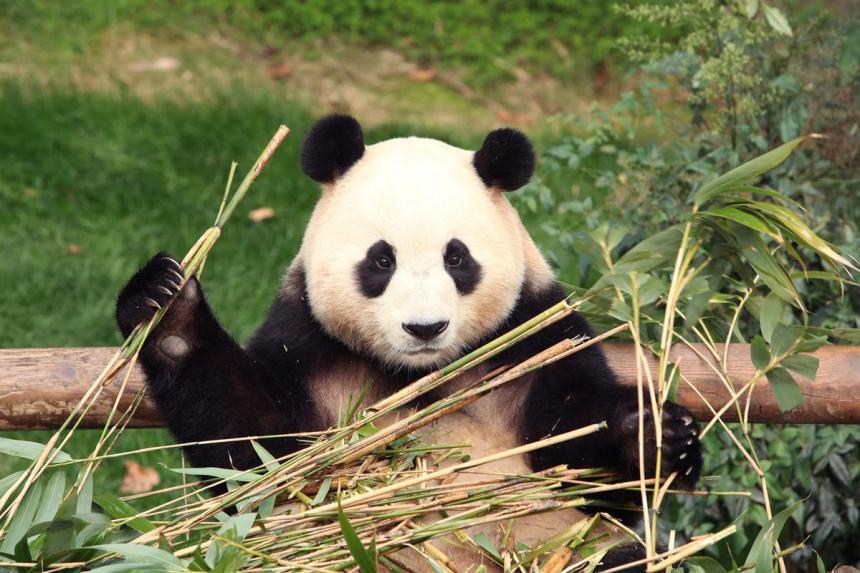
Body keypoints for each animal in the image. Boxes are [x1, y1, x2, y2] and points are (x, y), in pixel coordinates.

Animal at [116, 115, 702, 571]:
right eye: (381, 260)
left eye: (457, 258)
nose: (425, 329)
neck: (421, 374)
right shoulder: (309, 346)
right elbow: (257, 455)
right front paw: (166, 306)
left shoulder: (535, 336)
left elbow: (583, 458)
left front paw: (656, 436)